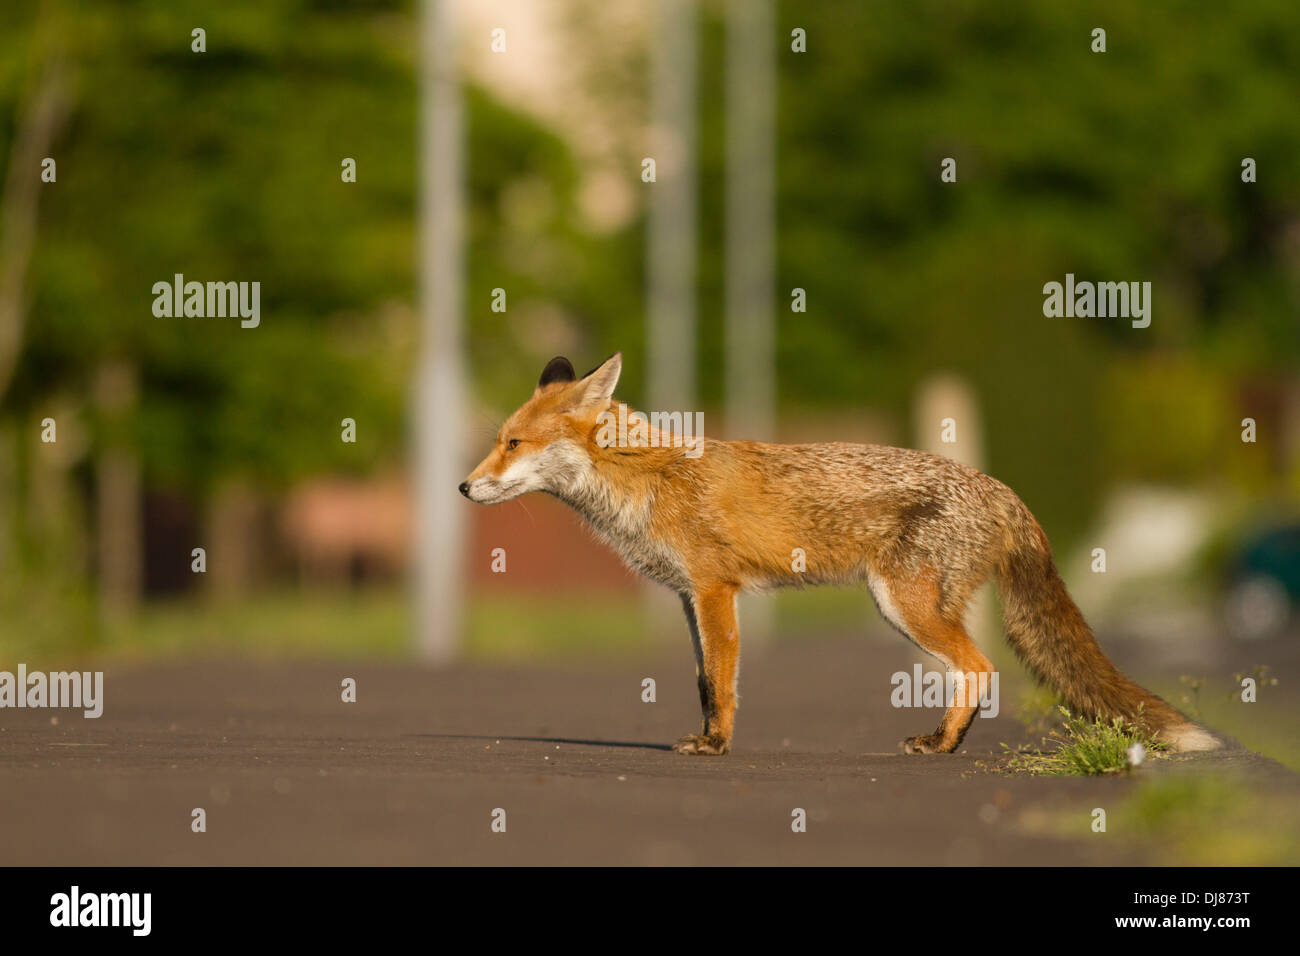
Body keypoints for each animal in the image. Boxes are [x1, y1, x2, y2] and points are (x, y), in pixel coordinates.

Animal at [459, 352, 1222, 757]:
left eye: (513, 444)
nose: (464, 486)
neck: (647, 479)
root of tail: (1003, 489)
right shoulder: (686, 597)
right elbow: (703, 681)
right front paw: (705, 736)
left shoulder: (715, 591)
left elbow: (724, 683)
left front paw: (717, 746)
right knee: (976, 671)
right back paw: (947, 741)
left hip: (904, 606)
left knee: (980, 667)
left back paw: (942, 745)